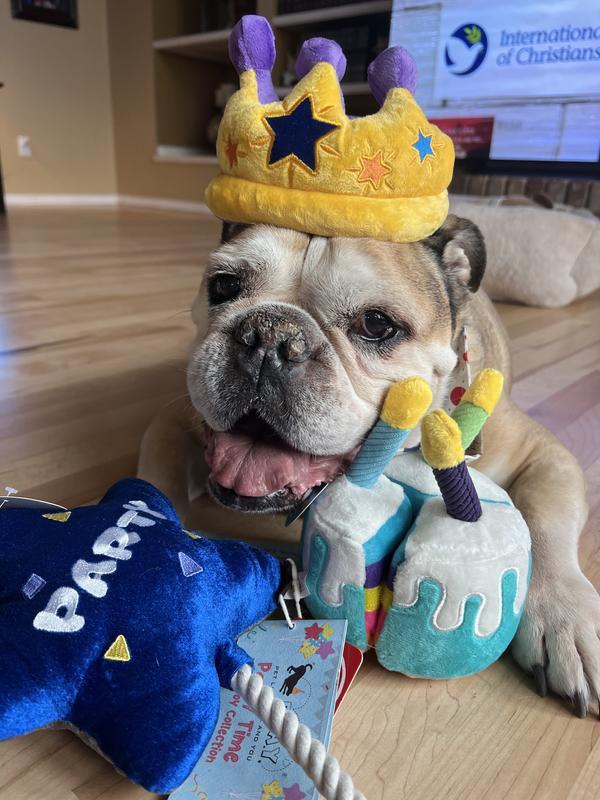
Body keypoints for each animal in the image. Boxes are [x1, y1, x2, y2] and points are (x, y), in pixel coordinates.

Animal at [139, 216, 598, 716]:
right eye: (223, 286)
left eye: (377, 325)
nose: (269, 335)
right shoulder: (174, 423)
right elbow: (154, 487)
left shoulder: (545, 455)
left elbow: (545, 520)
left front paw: (565, 618)